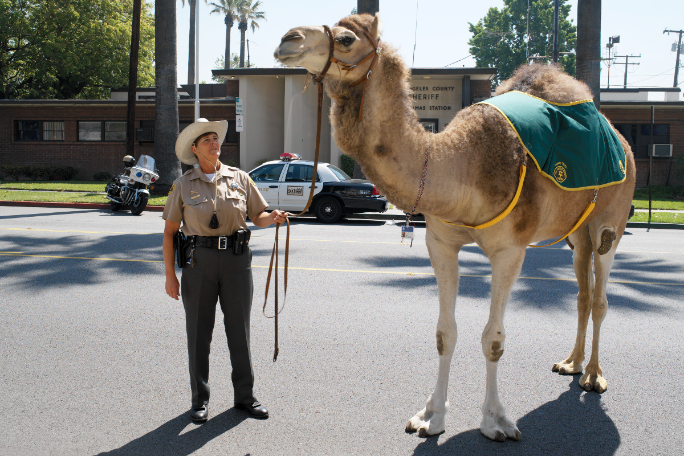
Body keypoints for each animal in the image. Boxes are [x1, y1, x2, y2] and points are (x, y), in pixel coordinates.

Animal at [274, 13, 636, 442]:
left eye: (346, 39)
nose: (287, 39)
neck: (459, 164)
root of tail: (620, 139)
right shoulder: (441, 242)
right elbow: (445, 334)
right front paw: (430, 417)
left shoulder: (510, 250)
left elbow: (493, 339)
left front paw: (496, 422)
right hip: (575, 232)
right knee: (581, 292)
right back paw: (571, 363)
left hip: (610, 220)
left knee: (600, 297)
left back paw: (593, 376)